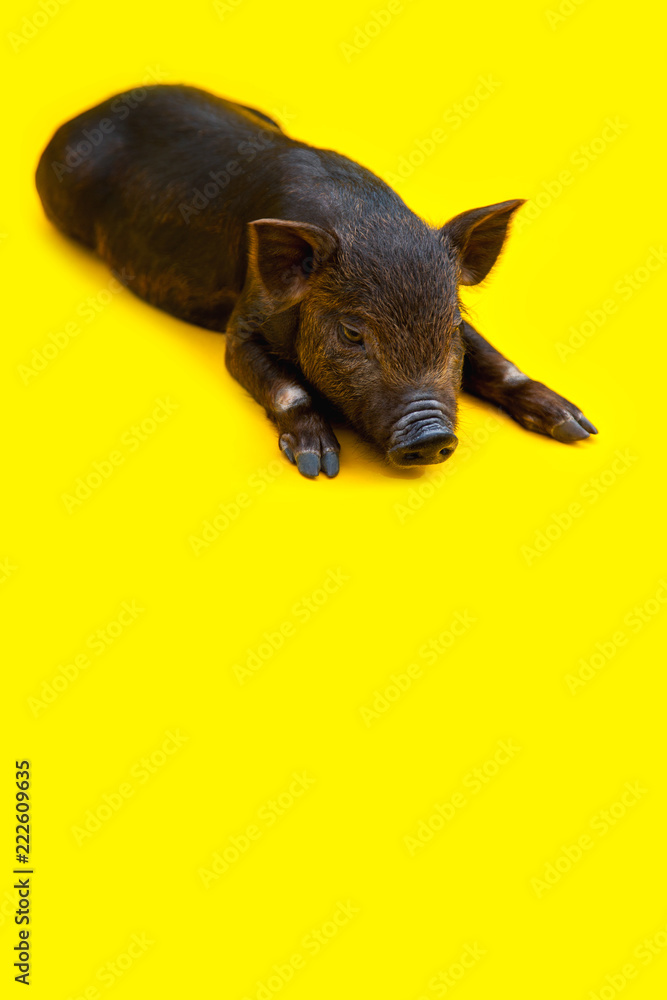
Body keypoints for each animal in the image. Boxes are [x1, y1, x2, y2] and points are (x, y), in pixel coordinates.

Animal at [35, 84, 597, 478]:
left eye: (451, 323)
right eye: (352, 333)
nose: (431, 435)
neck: (368, 224)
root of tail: (89, 111)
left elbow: (499, 364)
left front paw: (577, 428)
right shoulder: (243, 323)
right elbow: (287, 388)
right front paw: (319, 466)